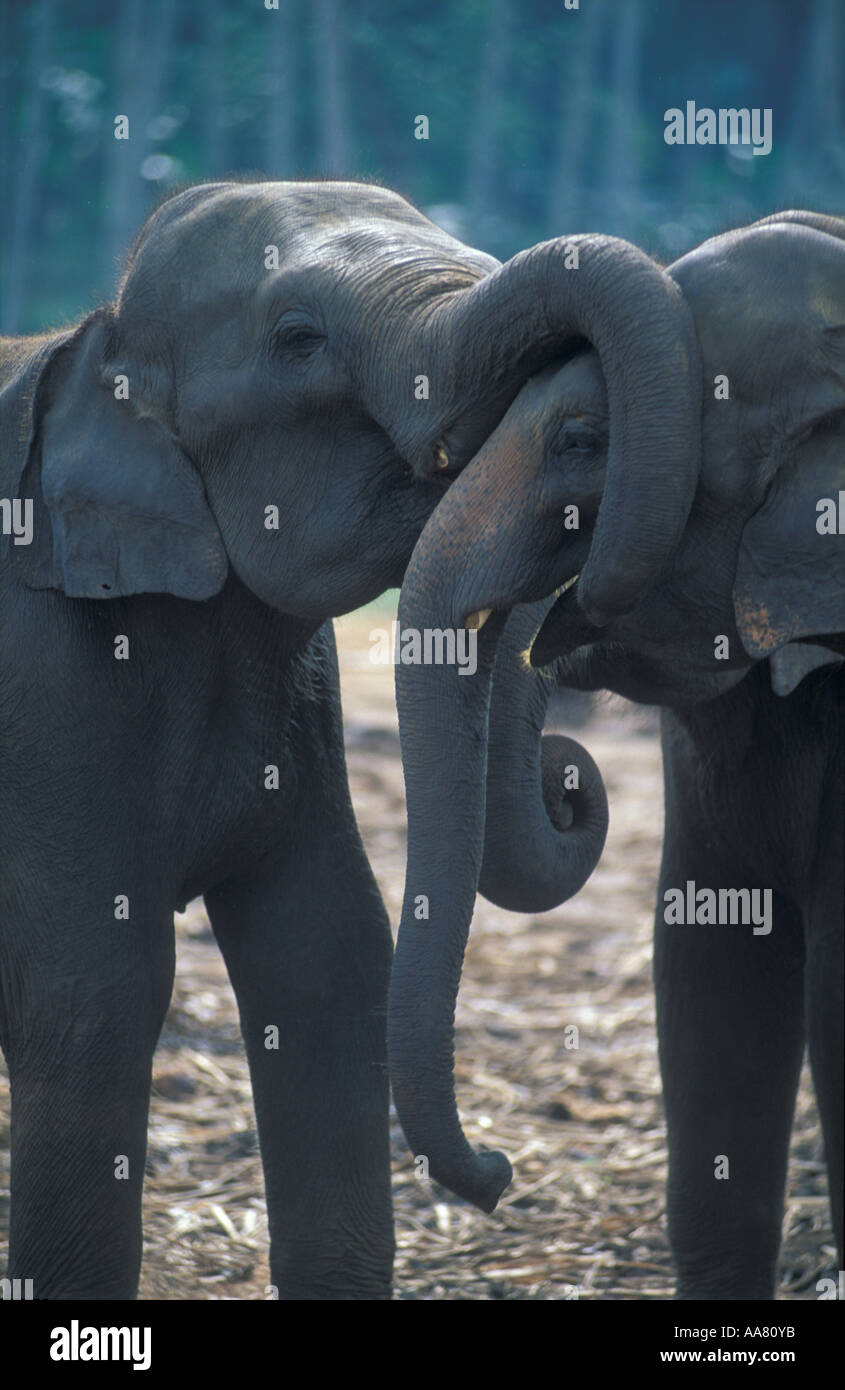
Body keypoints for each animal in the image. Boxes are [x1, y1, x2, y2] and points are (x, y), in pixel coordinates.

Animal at [0, 179, 699, 1299]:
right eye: (298, 339)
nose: (498, 1171)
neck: (91, 338)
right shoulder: (40, 685)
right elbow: (91, 993)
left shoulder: (300, 699)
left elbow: (327, 957)